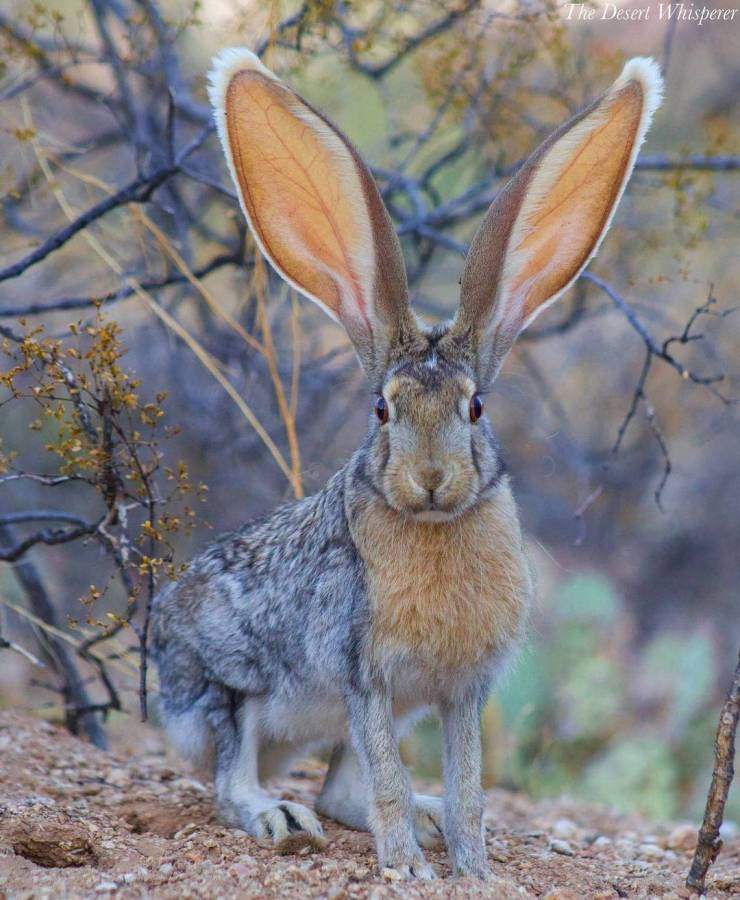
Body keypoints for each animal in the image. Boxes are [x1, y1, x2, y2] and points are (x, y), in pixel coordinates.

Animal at [151, 49, 663, 880]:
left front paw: (474, 869)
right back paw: (282, 817)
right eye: (381, 410)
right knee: (235, 781)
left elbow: (467, 788)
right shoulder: (364, 673)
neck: (430, 528)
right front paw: (405, 870)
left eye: (476, 408)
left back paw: (417, 821)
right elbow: (387, 781)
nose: (429, 481)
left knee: (339, 789)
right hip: (230, 689)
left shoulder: (456, 690)